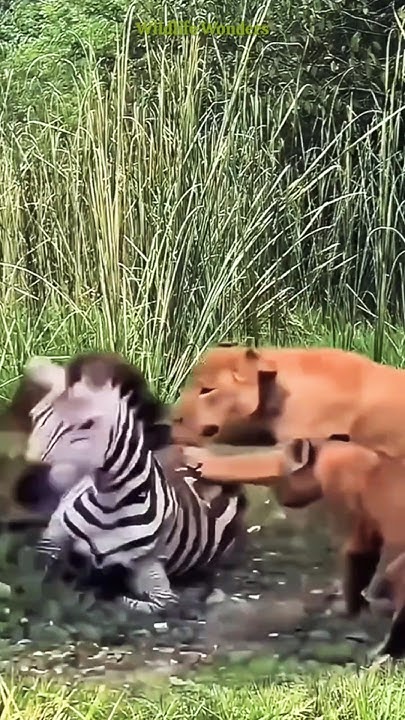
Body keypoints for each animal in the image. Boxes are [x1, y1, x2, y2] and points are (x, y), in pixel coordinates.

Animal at [13, 352, 248, 614]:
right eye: (35, 416)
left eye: (87, 424)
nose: (27, 486)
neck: (109, 504)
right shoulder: (50, 540)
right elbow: (31, 571)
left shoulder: (149, 565)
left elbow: (155, 601)